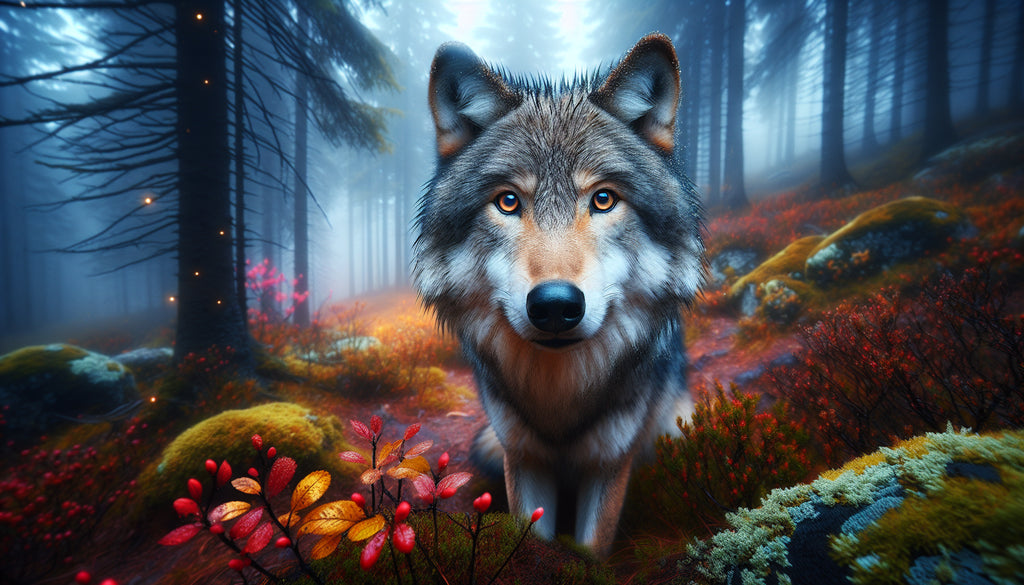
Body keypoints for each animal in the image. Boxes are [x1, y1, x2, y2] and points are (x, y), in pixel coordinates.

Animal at [412, 34, 704, 555]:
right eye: (508, 201)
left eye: (604, 199)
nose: (554, 306)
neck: (559, 394)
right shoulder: (522, 457)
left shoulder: (611, 462)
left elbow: (592, 548)